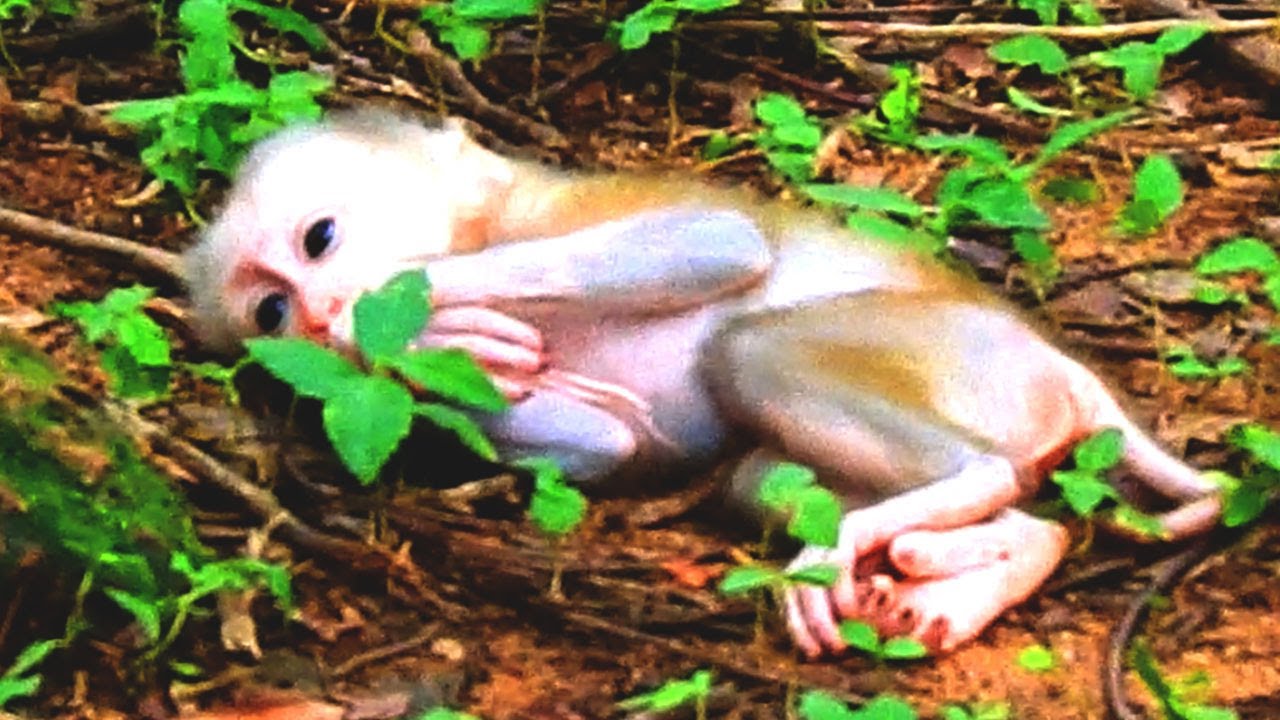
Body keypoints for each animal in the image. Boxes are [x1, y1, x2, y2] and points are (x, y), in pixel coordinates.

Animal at [184, 111, 1222, 656]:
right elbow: (608, 443)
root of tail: (1064, 367)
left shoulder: (552, 211)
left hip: (959, 354)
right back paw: (971, 569)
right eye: (269, 313)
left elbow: (718, 245)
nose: (319, 317)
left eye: (320, 239)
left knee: (755, 355)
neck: (489, 218)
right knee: (762, 476)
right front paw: (438, 354)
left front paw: (414, 320)